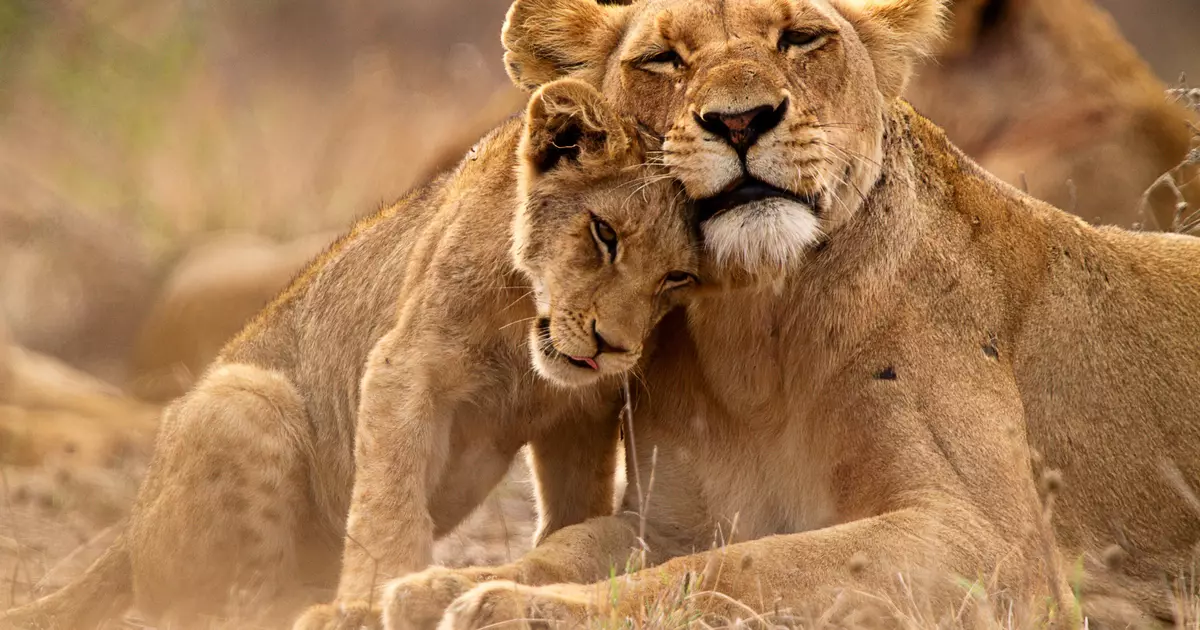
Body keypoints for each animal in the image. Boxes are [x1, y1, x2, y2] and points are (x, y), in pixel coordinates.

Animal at [0, 79, 700, 629]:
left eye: (678, 278)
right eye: (604, 234)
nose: (613, 347)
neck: (525, 329)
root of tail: (128, 530)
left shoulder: (581, 414)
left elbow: (574, 511)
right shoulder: (404, 366)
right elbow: (389, 503)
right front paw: (367, 603)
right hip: (245, 398)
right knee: (215, 608)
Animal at [370, 0, 1200, 628]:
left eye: (801, 37)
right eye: (663, 59)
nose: (741, 121)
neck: (754, 333)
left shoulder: (995, 545)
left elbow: (741, 566)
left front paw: (517, 609)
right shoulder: (664, 519)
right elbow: (570, 545)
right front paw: (436, 588)